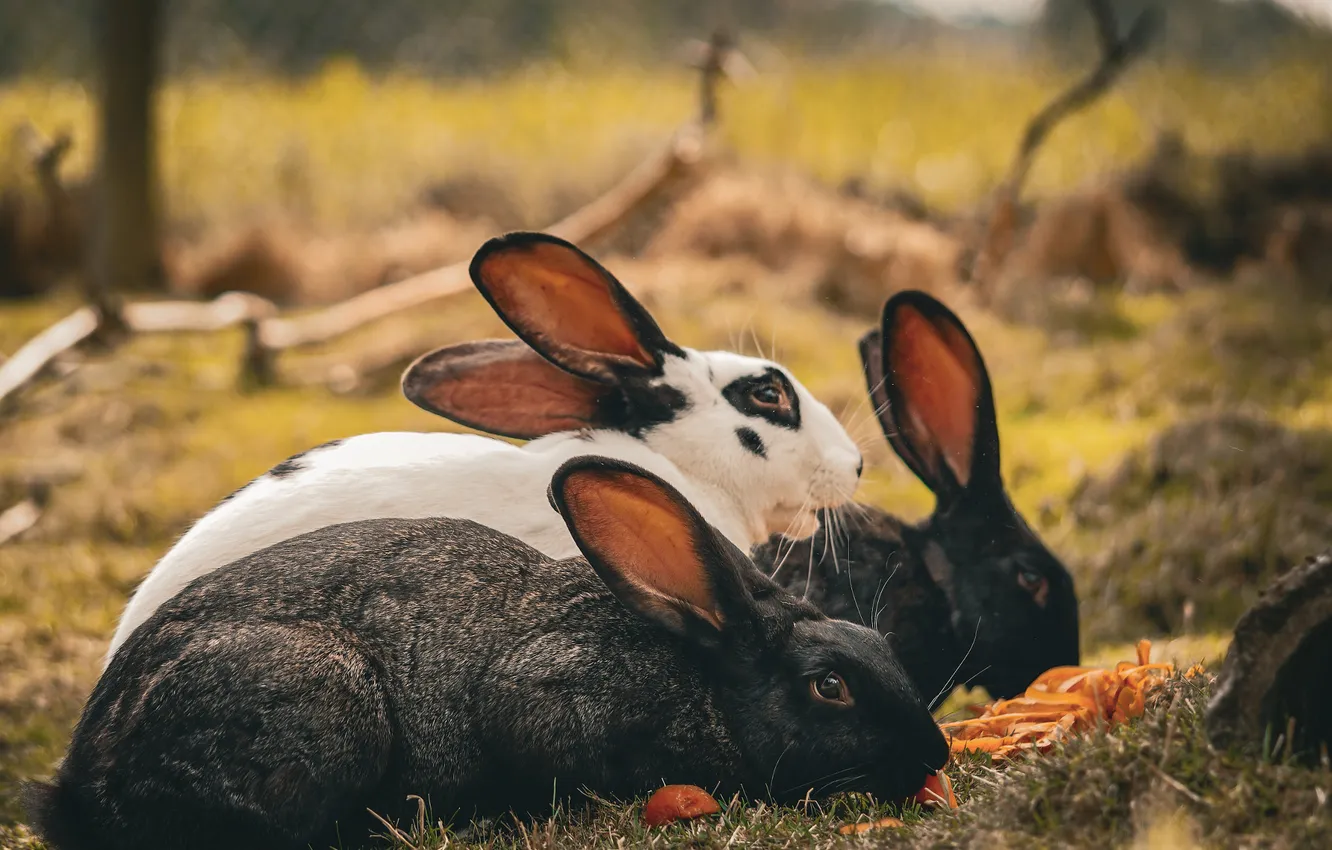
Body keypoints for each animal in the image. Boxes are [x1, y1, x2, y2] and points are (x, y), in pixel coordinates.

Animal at [26, 456, 949, 850]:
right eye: (829, 687)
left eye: (880, 647)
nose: (934, 755)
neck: (705, 677)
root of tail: (83, 781)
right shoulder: (544, 698)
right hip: (320, 697)